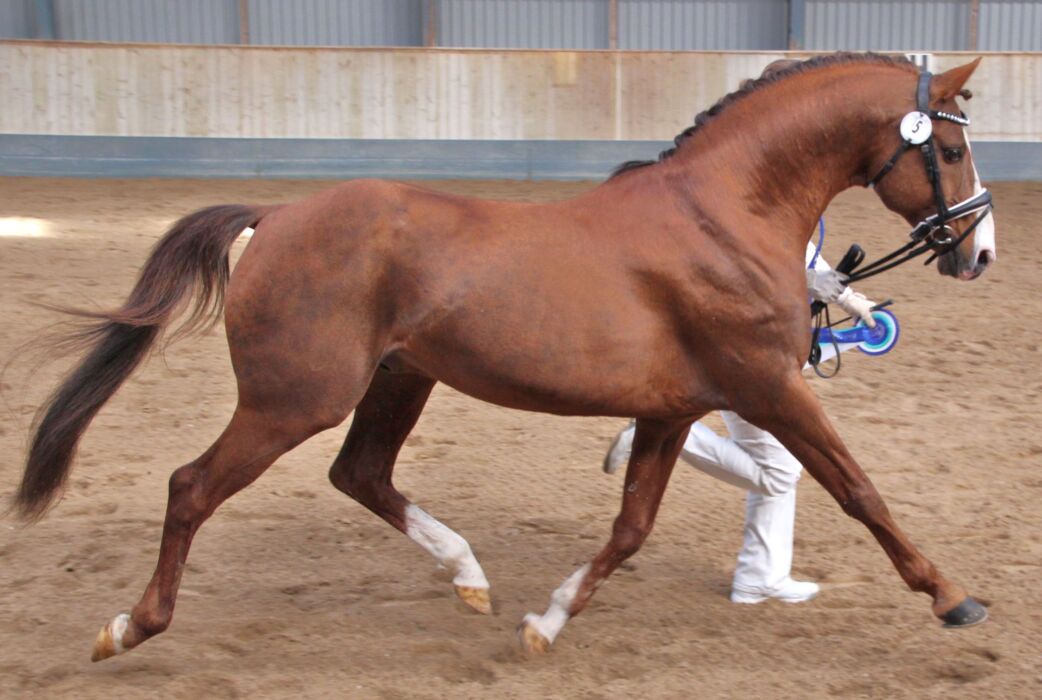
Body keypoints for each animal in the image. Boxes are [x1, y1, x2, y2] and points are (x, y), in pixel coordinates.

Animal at [13, 53, 996, 661]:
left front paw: (545, 623)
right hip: (293, 399)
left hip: (397, 380)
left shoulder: (673, 408)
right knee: (192, 487)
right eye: (948, 147)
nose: (976, 252)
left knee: (360, 474)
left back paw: (470, 578)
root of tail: (278, 214)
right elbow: (860, 489)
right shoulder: (767, 386)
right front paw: (953, 598)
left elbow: (631, 527)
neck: (723, 213)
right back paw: (128, 628)